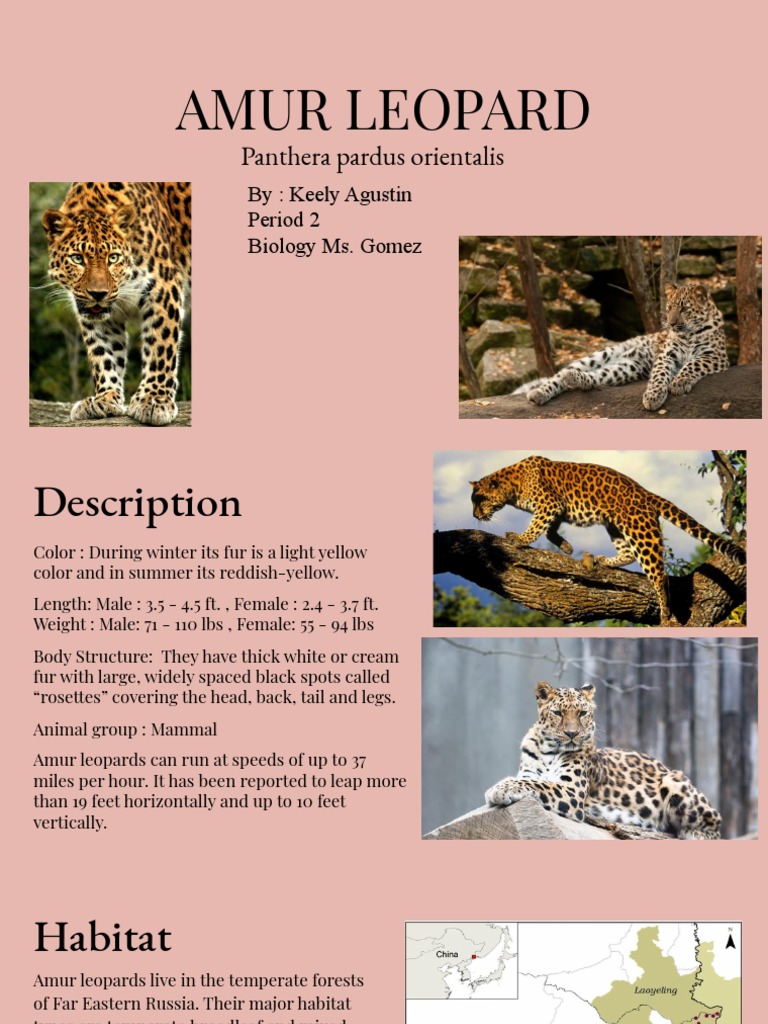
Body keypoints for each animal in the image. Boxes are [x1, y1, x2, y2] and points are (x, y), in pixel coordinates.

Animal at [42, 182, 191, 426]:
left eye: (113, 258)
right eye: (77, 258)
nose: (98, 294)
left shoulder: (163, 287)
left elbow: (161, 345)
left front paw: (154, 400)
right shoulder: (97, 315)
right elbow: (104, 352)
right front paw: (105, 398)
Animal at [469, 455, 745, 626]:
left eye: (480, 500)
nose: (474, 515)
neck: (513, 487)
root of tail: (646, 492)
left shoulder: (549, 504)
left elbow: (537, 526)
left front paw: (519, 539)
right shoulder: (555, 509)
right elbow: (548, 530)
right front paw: (567, 547)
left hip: (639, 529)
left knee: (659, 573)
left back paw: (665, 611)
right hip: (617, 527)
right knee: (629, 553)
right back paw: (601, 561)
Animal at [485, 681, 721, 839]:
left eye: (582, 713)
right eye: (558, 713)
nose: (572, 733)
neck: (548, 750)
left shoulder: (571, 791)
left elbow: (536, 783)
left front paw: (499, 789)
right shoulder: (532, 772)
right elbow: (531, 779)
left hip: (674, 780)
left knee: (716, 823)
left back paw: (693, 834)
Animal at [514, 283, 729, 411]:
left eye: (684, 309)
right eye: (669, 308)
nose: (671, 323)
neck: (689, 333)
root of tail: (631, 353)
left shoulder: (716, 356)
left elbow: (692, 364)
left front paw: (679, 382)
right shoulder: (667, 354)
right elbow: (660, 374)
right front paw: (654, 396)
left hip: (627, 368)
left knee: (593, 378)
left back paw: (574, 379)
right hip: (604, 355)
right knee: (561, 374)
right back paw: (540, 392)